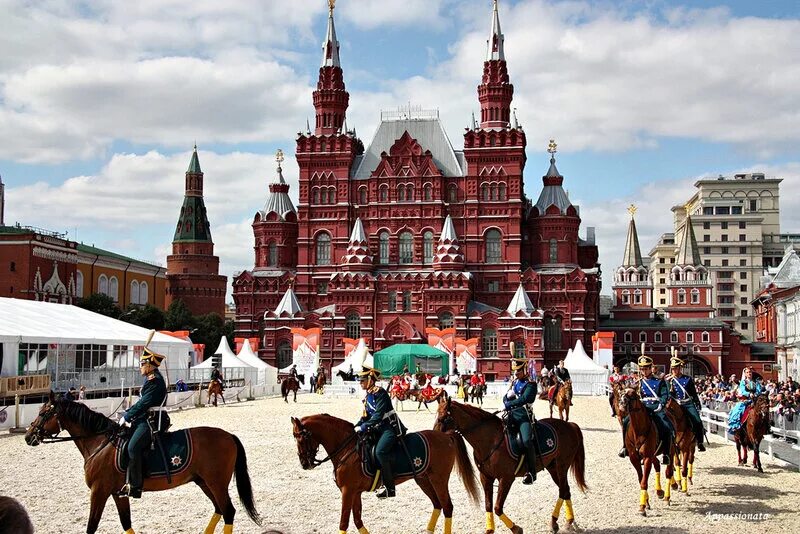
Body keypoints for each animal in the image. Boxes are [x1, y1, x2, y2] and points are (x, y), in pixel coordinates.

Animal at [25, 392, 261, 534]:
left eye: (43, 413)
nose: (28, 436)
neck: (100, 443)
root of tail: (228, 435)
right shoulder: (117, 493)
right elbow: (126, 523)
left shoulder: (99, 492)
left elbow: (91, 526)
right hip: (204, 482)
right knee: (219, 509)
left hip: (216, 483)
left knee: (228, 511)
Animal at [291, 413, 480, 534]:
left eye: (301, 437)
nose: (304, 464)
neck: (347, 448)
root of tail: (446, 436)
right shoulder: (354, 493)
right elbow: (358, 520)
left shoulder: (347, 491)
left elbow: (344, 523)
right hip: (423, 480)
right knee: (437, 505)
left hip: (439, 480)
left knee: (447, 507)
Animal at [435, 395, 587, 534]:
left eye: (443, 418)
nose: (435, 436)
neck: (490, 439)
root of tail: (570, 425)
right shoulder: (486, 477)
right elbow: (488, 505)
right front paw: (490, 530)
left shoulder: (506, 479)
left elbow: (497, 508)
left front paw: (516, 529)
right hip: (553, 468)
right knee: (565, 491)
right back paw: (561, 522)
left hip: (561, 467)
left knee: (563, 491)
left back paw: (561, 522)